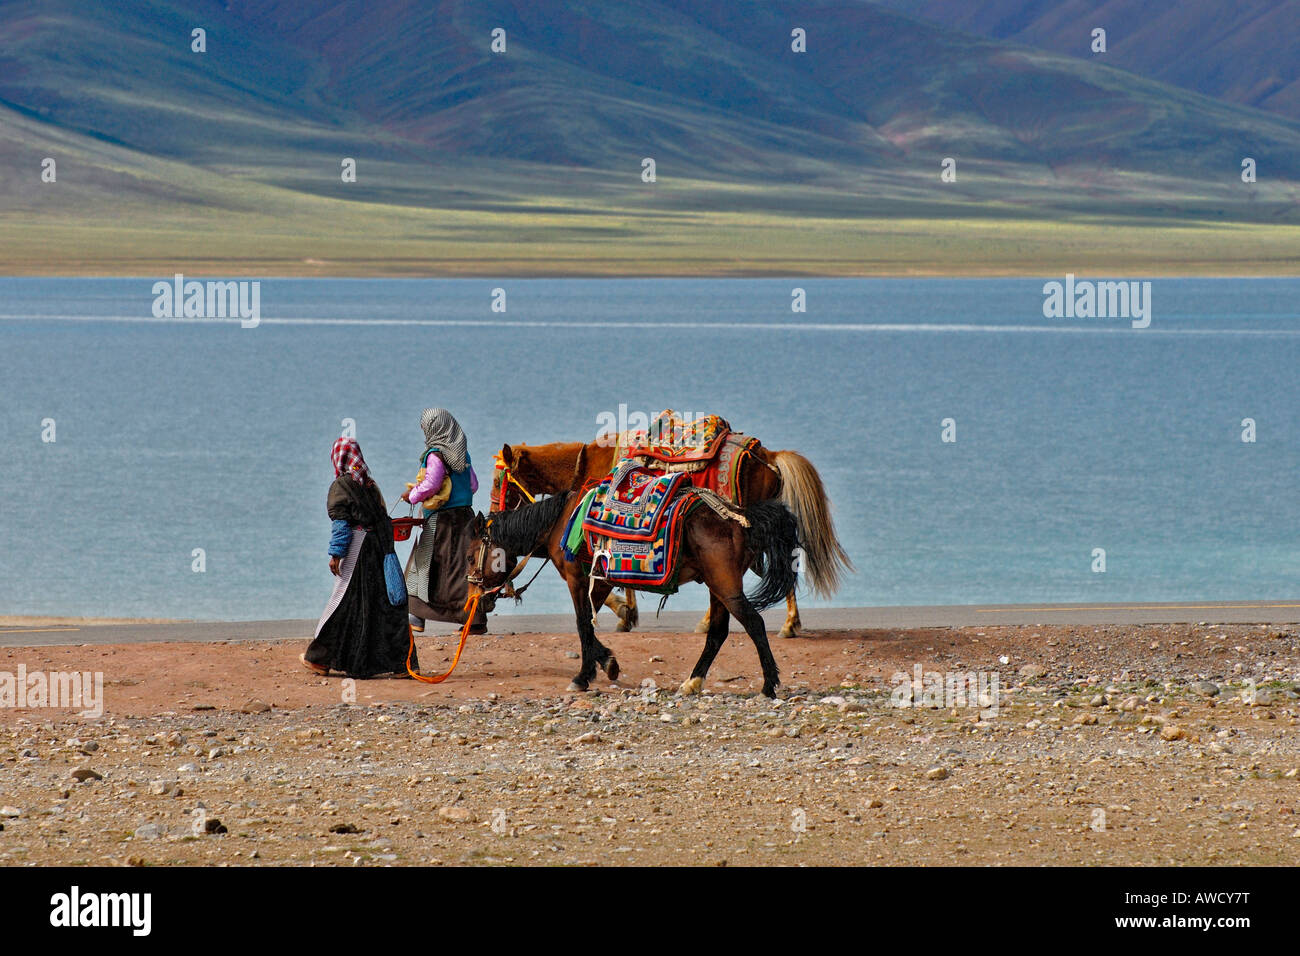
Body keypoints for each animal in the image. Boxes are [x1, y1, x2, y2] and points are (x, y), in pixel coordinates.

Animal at [466, 491, 800, 698]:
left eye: (470, 557)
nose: (476, 601)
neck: (559, 522)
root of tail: (740, 519)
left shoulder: (577, 580)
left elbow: (582, 625)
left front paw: (583, 677)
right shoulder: (599, 582)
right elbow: (589, 627)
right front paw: (607, 663)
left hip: (725, 586)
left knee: (754, 624)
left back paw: (768, 686)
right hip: (717, 587)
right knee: (717, 633)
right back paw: (691, 683)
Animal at [491, 437, 852, 638]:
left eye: (498, 481)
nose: (493, 513)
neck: (590, 464)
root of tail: (770, 457)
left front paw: (623, 613)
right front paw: (627, 614)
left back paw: (780, 624)